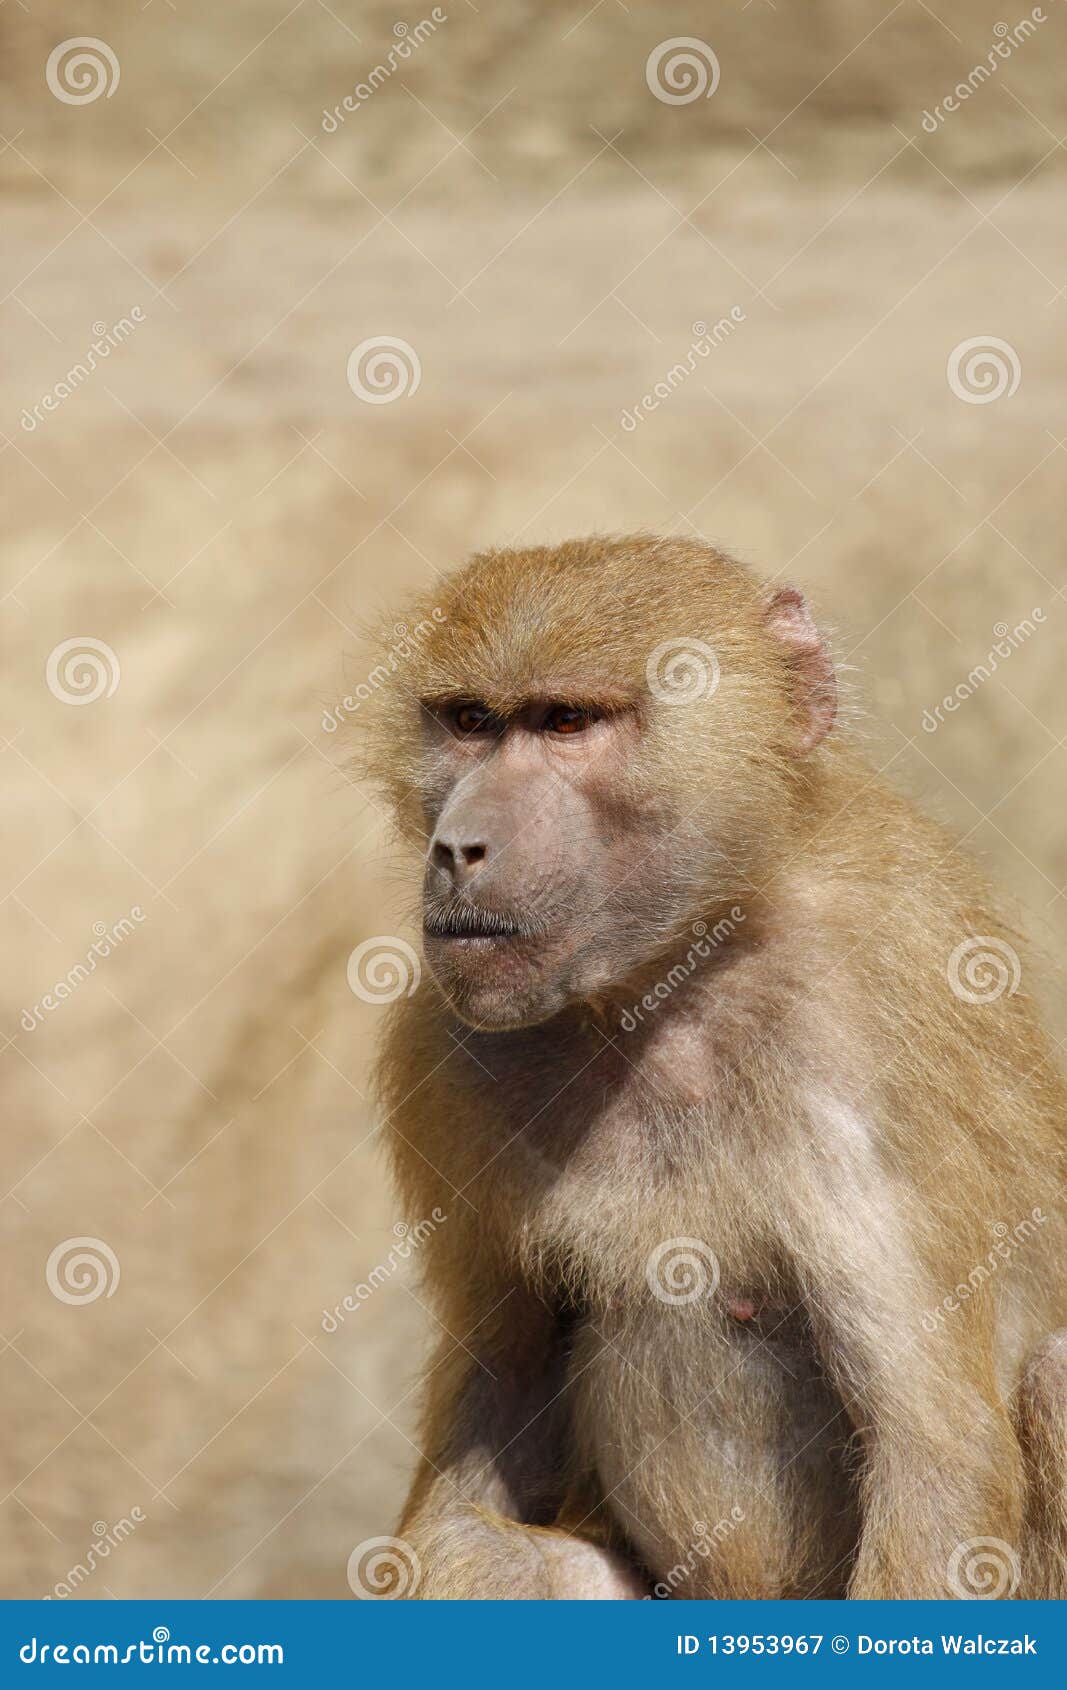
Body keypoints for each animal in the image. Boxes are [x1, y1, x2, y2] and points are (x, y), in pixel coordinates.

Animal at [357, 533, 1067, 1600]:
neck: (678, 970)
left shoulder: (866, 1016)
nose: (458, 848)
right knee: (474, 1549)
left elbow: (936, 1455)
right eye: (470, 722)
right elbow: (507, 1372)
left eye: (567, 721)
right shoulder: (453, 1046)